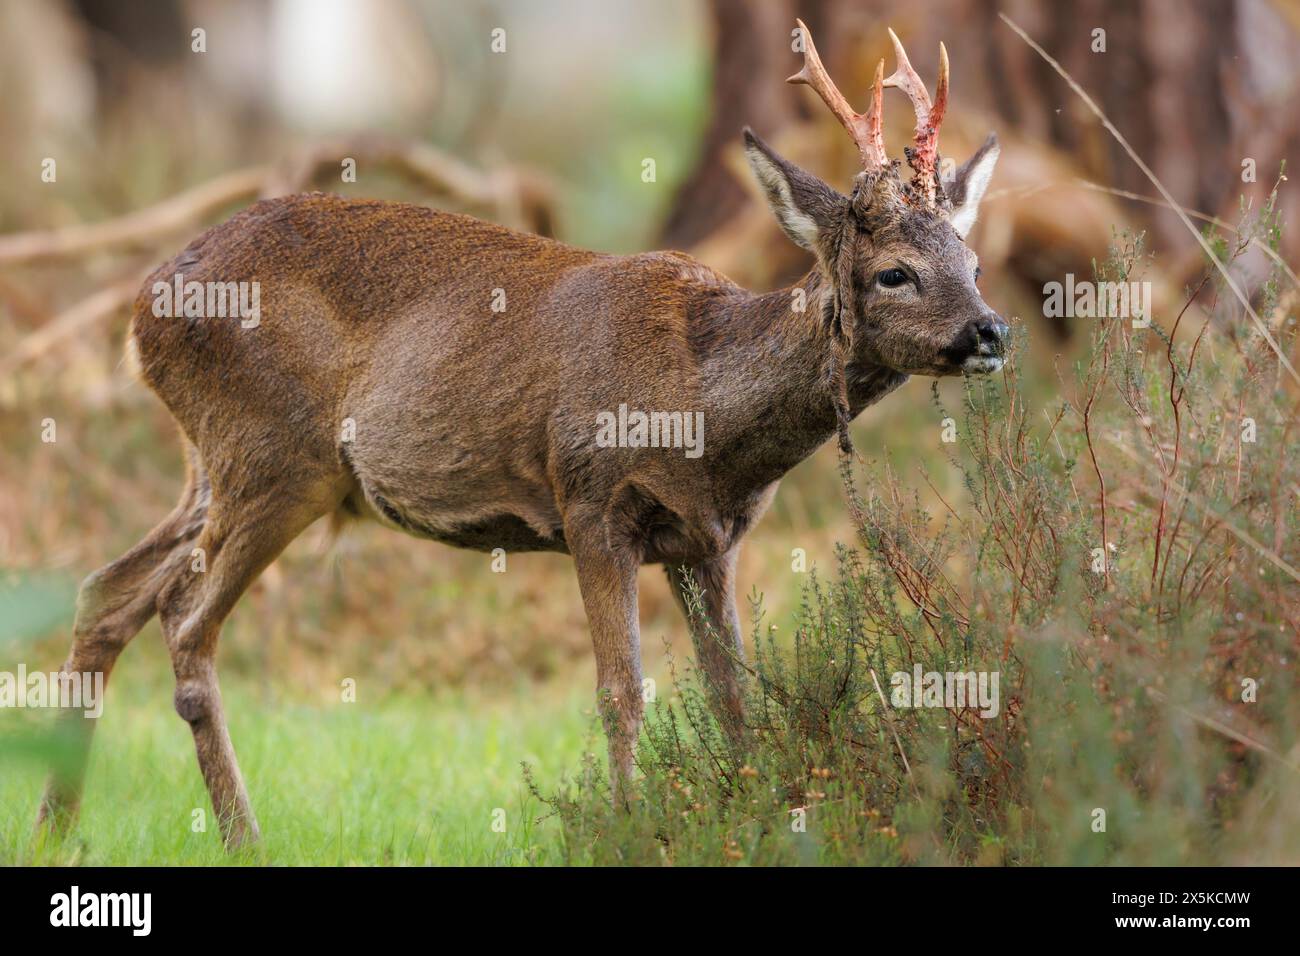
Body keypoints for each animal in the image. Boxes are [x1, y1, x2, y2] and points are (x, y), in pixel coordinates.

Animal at [37, 21, 1005, 848]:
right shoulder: (590, 498)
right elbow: (621, 689)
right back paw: (243, 837)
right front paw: (628, 826)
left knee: (109, 592)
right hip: (275, 453)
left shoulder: (710, 539)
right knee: (186, 622)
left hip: (211, 462)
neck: (705, 409)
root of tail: (140, 307)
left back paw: (56, 825)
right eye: (895, 272)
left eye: (973, 261)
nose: (991, 330)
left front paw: (763, 815)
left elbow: (735, 694)